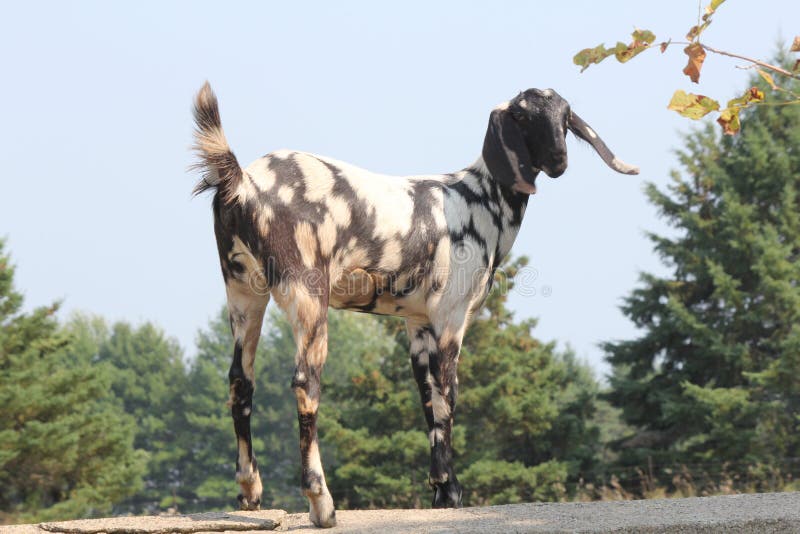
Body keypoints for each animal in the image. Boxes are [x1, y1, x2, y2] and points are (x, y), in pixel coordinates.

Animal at [191, 82, 637, 527]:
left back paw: (250, 493)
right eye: (522, 116)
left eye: (565, 115)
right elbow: (448, 396)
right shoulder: (451, 315)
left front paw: (440, 488)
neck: (479, 199)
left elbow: (427, 397)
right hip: (307, 292)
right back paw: (321, 502)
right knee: (305, 382)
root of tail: (243, 181)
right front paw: (451, 492)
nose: (559, 159)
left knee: (240, 380)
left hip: (243, 290)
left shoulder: (418, 322)